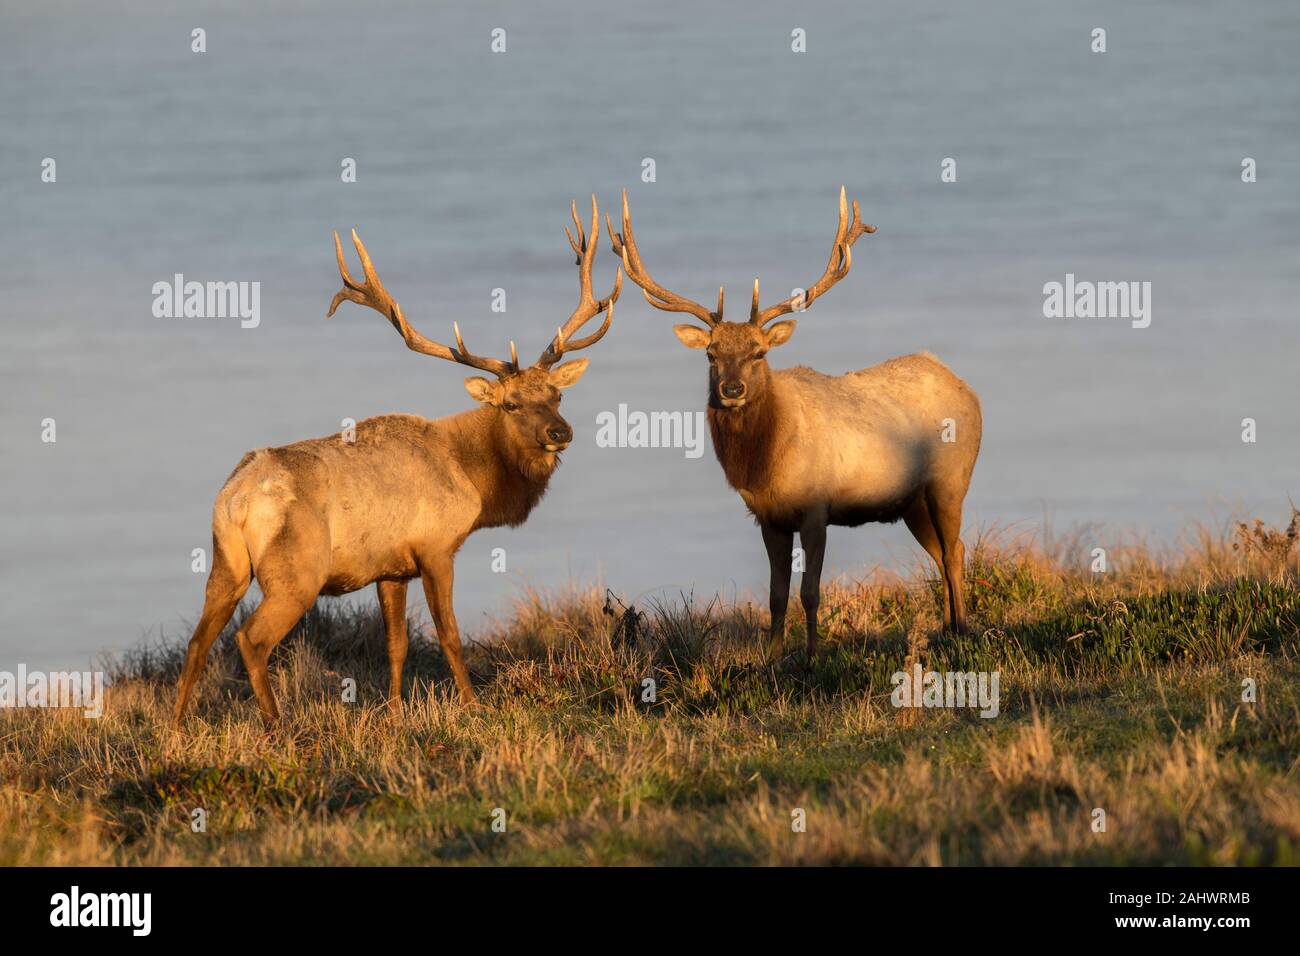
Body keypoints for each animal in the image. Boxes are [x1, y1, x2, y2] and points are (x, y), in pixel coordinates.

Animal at [173, 197, 622, 726]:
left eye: (557, 396)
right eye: (511, 404)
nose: (560, 432)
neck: (474, 480)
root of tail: (237, 497)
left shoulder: (390, 567)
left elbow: (396, 644)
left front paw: (392, 711)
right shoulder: (436, 547)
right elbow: (450, 635)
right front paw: (472, 705)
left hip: (227, 563)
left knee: (198, 641)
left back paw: (175, 728)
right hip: (294, 572)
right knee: (251, 639)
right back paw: (276, 727)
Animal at [607, 187, 981, 655]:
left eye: (759, 352)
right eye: (711, 353)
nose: (732, 389)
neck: (765, 465)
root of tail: (967, 388)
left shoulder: (817, 509)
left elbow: (810, 592)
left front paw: (812, 654)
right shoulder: (768, 518)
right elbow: (776, 594)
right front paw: (772, 656)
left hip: (951, 479)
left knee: (954, 551)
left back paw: (963, 630)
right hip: (911, 501)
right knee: (943, 553)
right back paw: (947, 629)